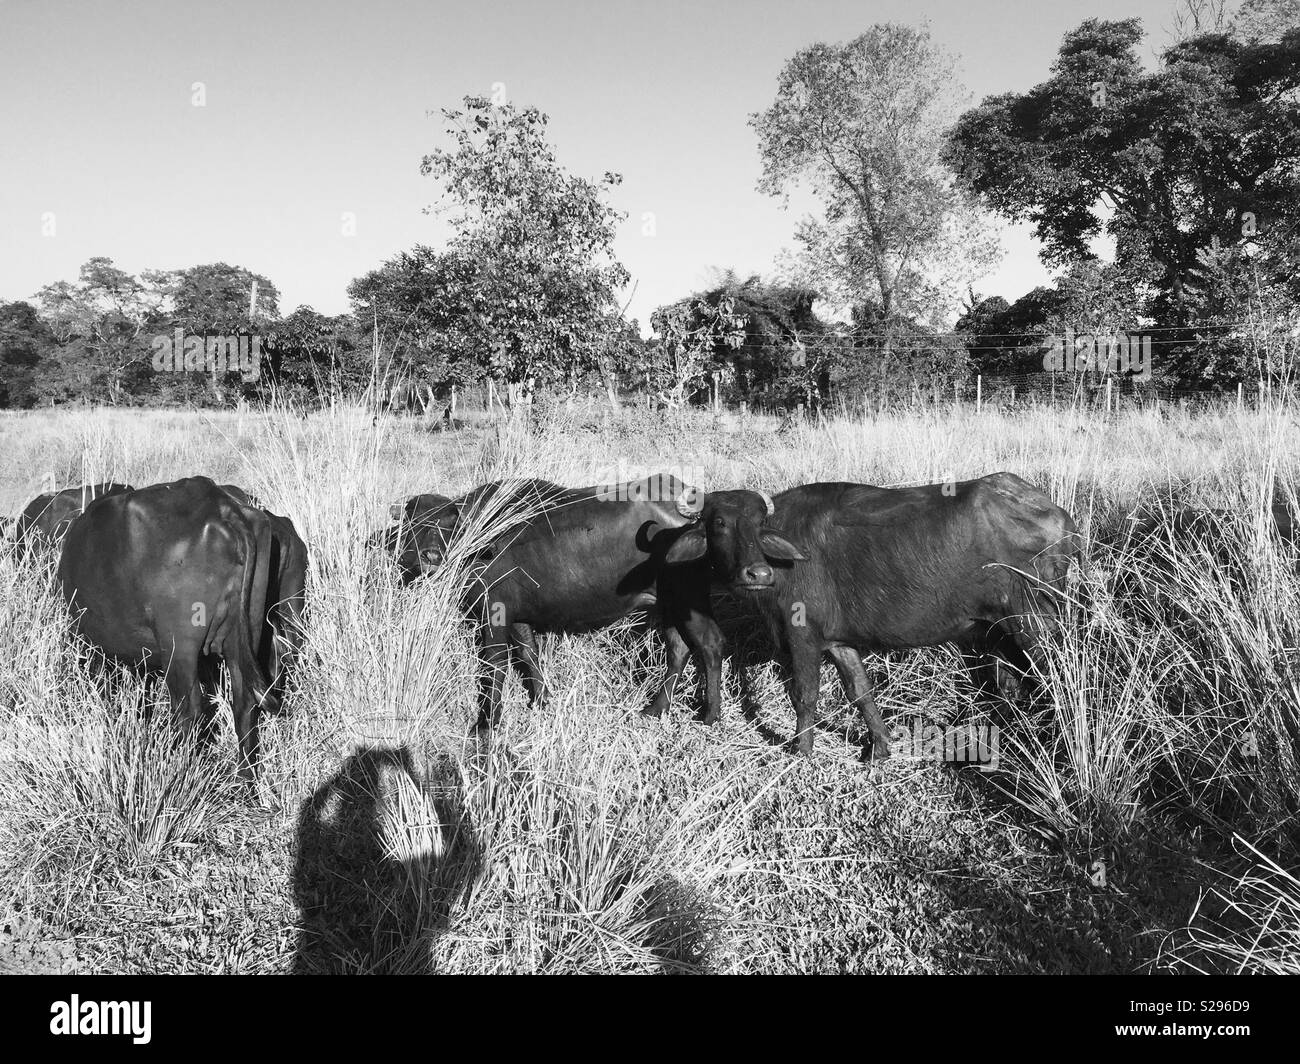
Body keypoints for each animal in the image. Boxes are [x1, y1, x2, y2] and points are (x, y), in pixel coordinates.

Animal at [58, 477, 285, 783]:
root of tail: (221, 505)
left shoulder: (89, 644)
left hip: (179, 647)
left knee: (189, 710)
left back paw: (180, 770)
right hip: (244, 631)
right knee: (245, 704)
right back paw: (244, 781)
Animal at [376, 475, 724, 730]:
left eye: (449, 524)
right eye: (414, 522)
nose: (430, 557)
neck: (481, 541)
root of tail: (695, 516)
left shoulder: (493, 613)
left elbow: (495, 665)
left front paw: (488, 722)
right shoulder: (518, 619)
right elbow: (529, 654)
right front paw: (542, 699)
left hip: (688, 604)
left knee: (710, 645)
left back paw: (710, 714)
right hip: (667, 607)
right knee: (678, 650)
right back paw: (656, 708)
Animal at [664, 473, 1079, 758]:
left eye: (757, 525)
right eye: (719, 524)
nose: (757, 574)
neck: (782, 561)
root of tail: (1060, 517)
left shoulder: (803, 636)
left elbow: (804, 694)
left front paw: (801, 750)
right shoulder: (839, 643)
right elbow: (861, 691)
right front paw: (880, 747)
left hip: (1034, 622)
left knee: (1055, 677)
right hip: (1001, 630)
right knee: (1011, 684)